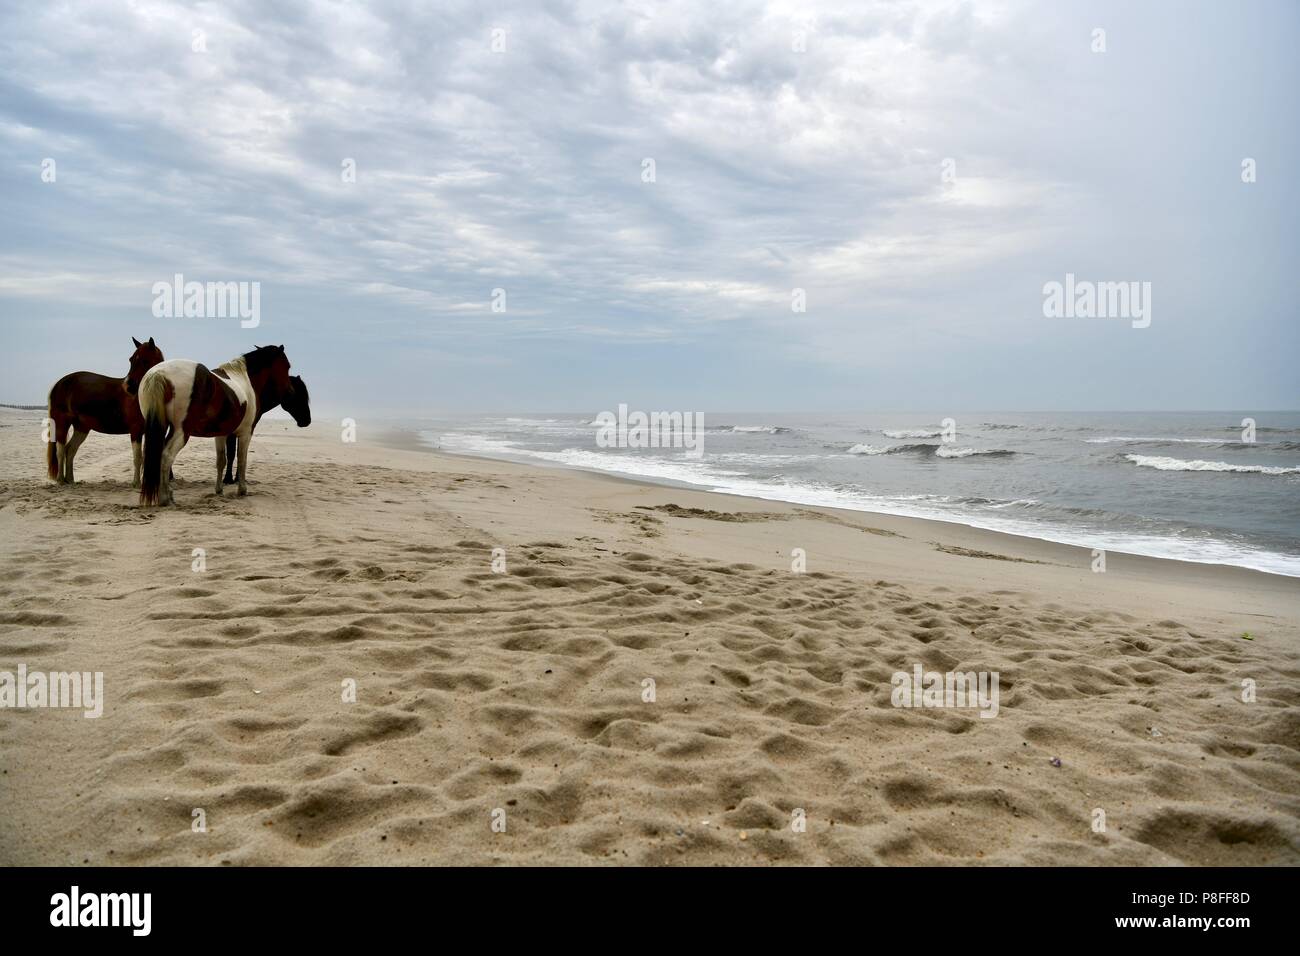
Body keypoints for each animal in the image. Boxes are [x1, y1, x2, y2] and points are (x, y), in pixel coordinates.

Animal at [46, 337, 165, 486]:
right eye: (131, 360)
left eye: (145, 360)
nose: (128, 386)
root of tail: (59, 383)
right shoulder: (136, 431)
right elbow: (138, 458)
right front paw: (136, 483)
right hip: (62, 423)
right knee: (60, 451)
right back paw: (60, 480)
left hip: (82, 427)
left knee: (70, 450)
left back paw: (70, 480)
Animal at [138, 345, 303, 506]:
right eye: (287, 366)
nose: (290, 391)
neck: (245, 380)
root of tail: (159, 373)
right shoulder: (245, 433)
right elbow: (242, 460)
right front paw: (242, 490)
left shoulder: (221, 434)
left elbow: (221, 461)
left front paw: (219, 490)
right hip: (181, 431)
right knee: (166, 456)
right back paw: (164, 498)